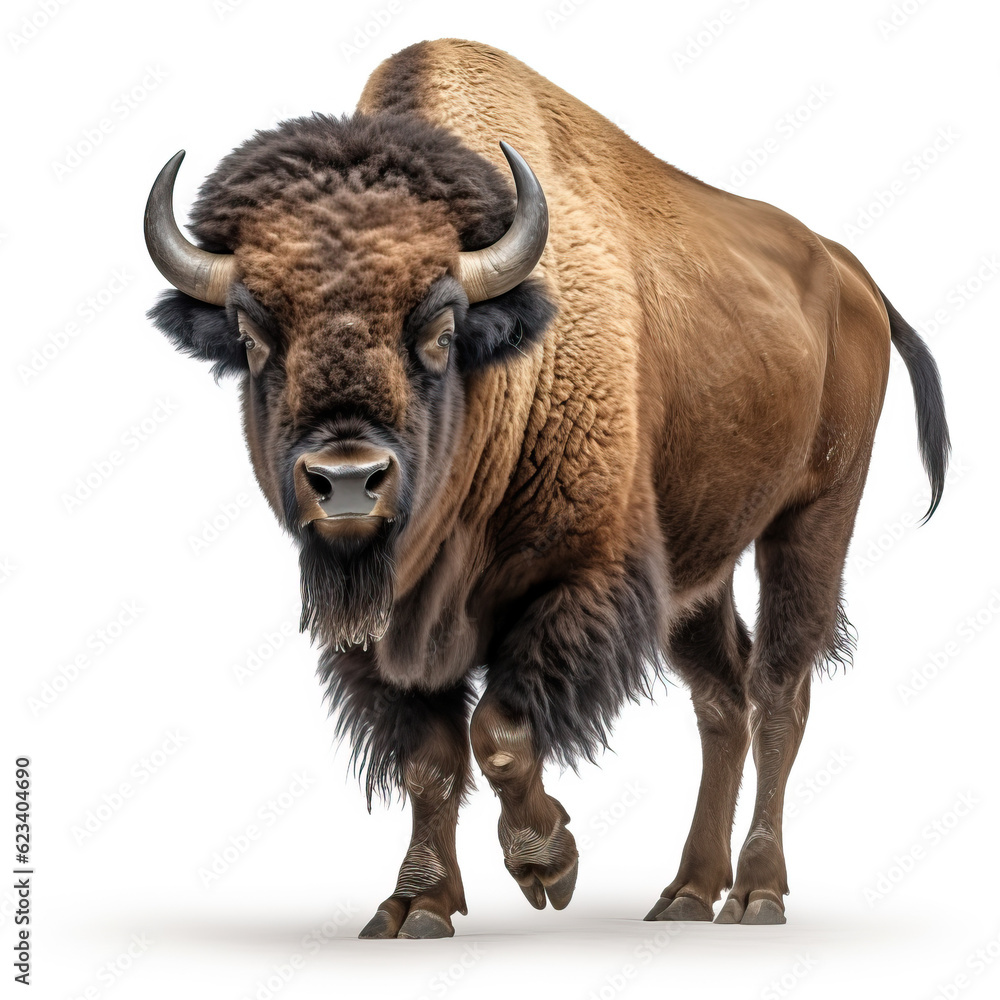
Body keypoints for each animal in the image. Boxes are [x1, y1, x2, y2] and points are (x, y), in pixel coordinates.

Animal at [145, 38, 949, 936]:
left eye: (441, 327)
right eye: (253, 334)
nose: (348, 481)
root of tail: (851, 276)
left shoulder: (585, 579)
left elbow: (498, 731)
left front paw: (548, 864)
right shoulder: (386, 628)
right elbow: (428, 758)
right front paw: (414, 907)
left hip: (814, 518)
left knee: (778, 688)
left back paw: (756, 893)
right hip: (700, 567)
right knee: (721, 698)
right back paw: (685, 892)